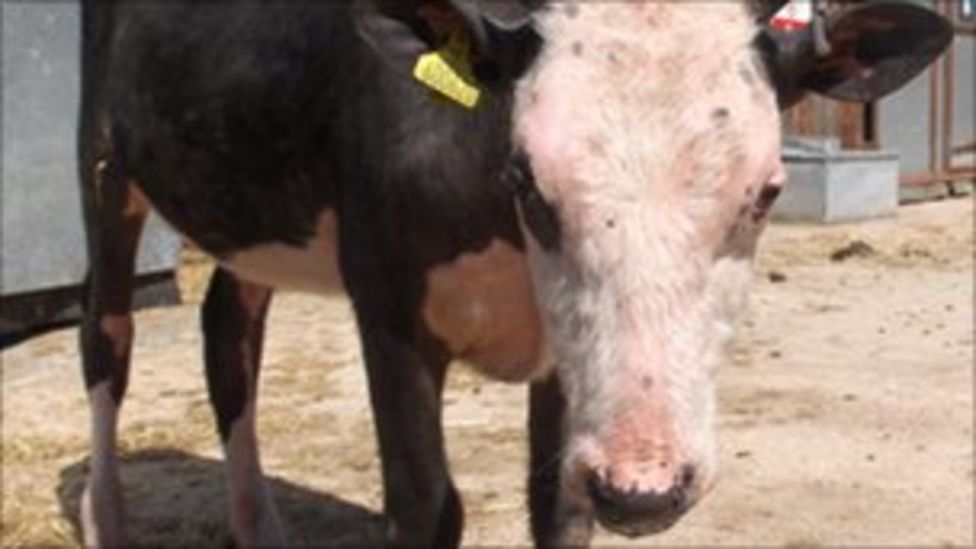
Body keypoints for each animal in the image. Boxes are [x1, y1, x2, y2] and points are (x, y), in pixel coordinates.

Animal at [76, 0, 952, 546]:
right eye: (526, 179)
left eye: (766, 191)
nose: (647, 485)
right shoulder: (388, 306)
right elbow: (426, 505)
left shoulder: (569, 363)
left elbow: (559, 509)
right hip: (105, 166)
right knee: (106, 337)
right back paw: (107, 519)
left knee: (229, 333)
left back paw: (258, 525)